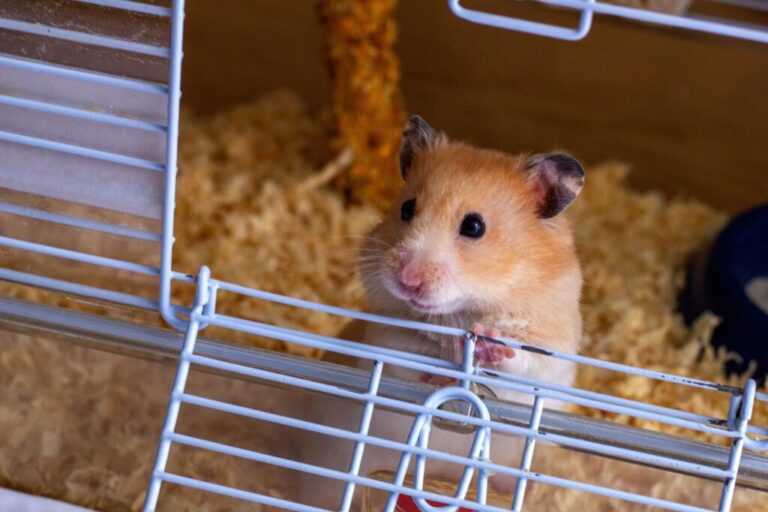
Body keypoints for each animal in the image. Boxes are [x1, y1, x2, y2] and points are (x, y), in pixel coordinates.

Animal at [296, 115, 584, 508]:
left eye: (474, 226)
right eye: (406, 208)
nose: (407, 279)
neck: (463, 312)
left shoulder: (551, 352)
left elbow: (520, 362)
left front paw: (489, 342)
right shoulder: (390, 337)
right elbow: (412, 362)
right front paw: (444, 376)